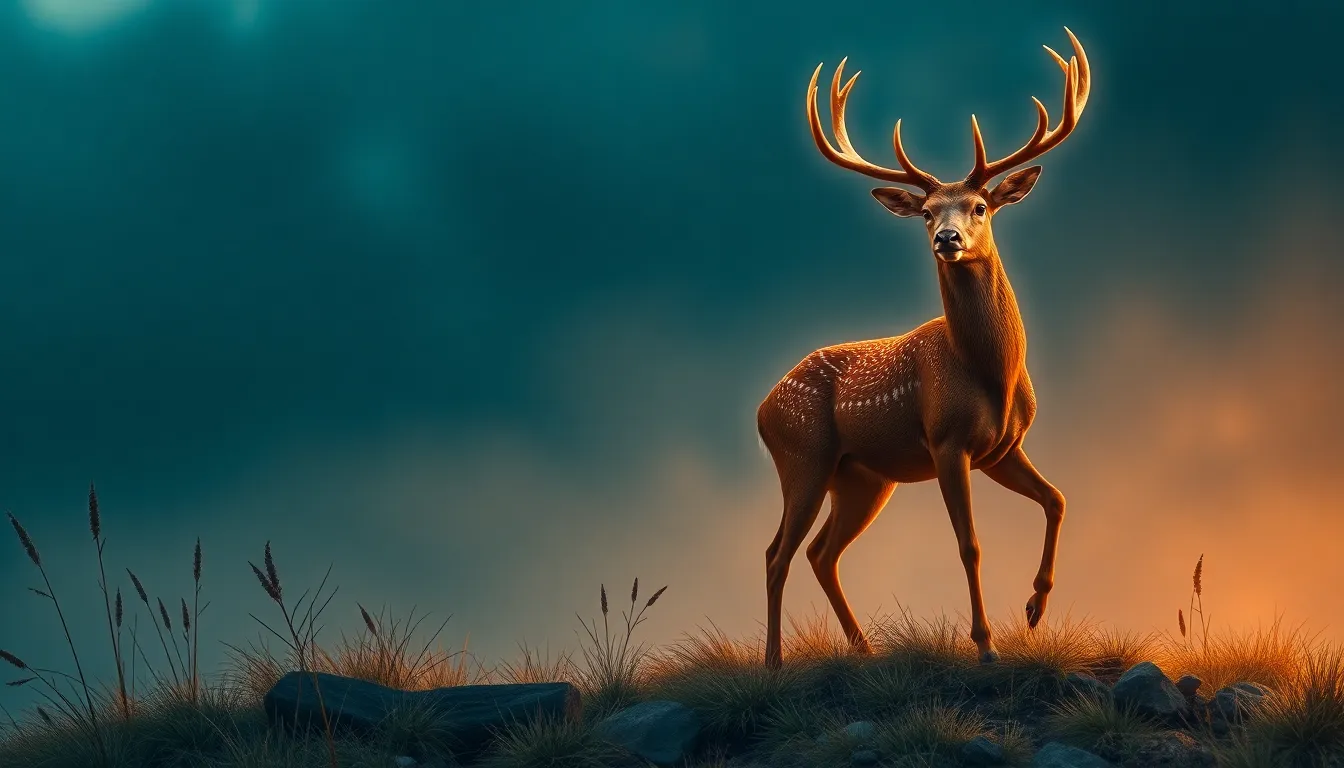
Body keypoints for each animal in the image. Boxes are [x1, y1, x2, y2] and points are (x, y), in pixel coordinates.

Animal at [758, 28, 1091, 669]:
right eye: (929, 212)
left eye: (981, 206)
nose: (947, 239)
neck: (991, 374)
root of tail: (760, 410)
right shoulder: (946, 440)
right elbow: (969, 544)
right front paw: (985, 645)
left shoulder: (1002, 448)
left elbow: (1058, 499)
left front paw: (1034, 608)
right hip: (802, 457)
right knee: (777, 553)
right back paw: (773, 662)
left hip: (862, 478)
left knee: (819, 553)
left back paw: (863, 649)